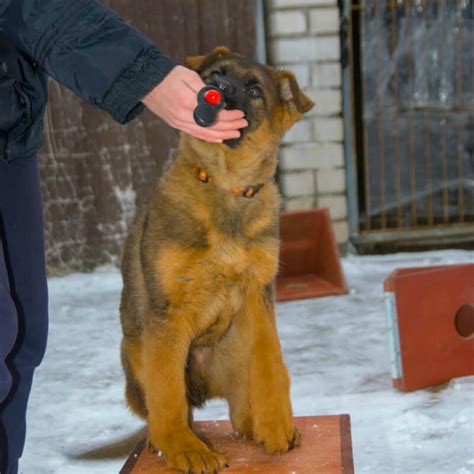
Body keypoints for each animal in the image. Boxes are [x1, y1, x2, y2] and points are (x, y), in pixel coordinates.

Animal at [118, 46, 312, 472]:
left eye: (255, 91)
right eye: (214, 73)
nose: (217, 88)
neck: (224, 185)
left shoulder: (258, 296)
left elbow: (271, 364)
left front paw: (275, 424)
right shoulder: (166, 314)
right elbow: (167, 395)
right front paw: (184, 448)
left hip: (236, 344)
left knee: (241, 408)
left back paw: (255, 423)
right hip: (135, 350)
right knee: (164, 406)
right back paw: (165, 439)